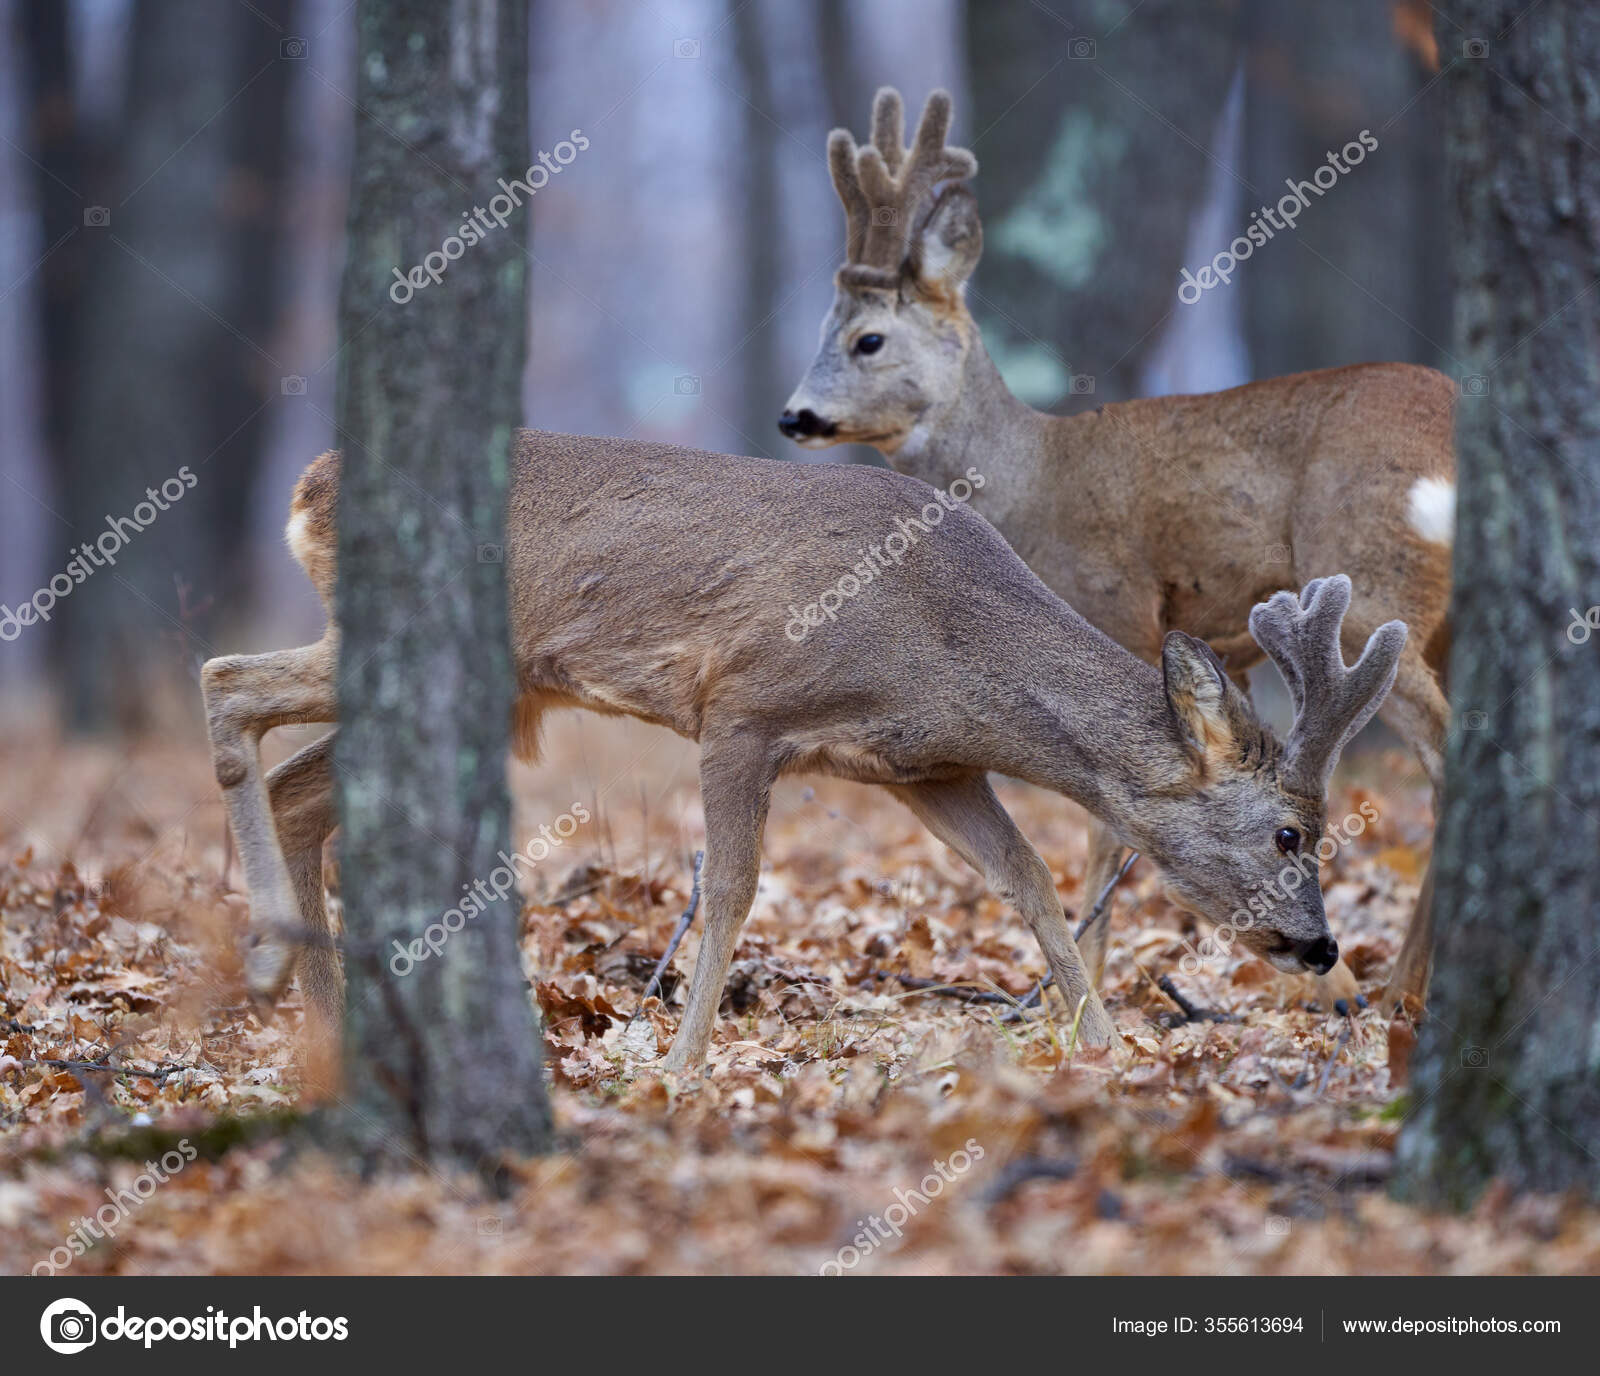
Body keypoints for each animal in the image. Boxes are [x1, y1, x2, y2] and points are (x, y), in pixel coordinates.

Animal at [201, 431, 1405, 1071]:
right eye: (1290, 830)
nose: (1318, 947)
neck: (939, 637)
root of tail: (309, 484)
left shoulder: (929, 766)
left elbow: (1028, 880)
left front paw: (1104, 1042)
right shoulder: (740, 706)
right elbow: (734, 887)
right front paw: (681, 1063)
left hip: (492, 686)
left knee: (297, 784)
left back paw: (322, 1024)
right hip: (446, 651)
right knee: (226, 685)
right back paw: (267, 961)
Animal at [781, 89, 1454, 1015]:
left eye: (868, 340)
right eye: (824, 327)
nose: (793, 415)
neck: (1025, 480)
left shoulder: (1118, 607)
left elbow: (1108, 811)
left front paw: (1088, 986)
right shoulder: (1225, 649)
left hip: (1379, 587)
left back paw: (1400, 996)